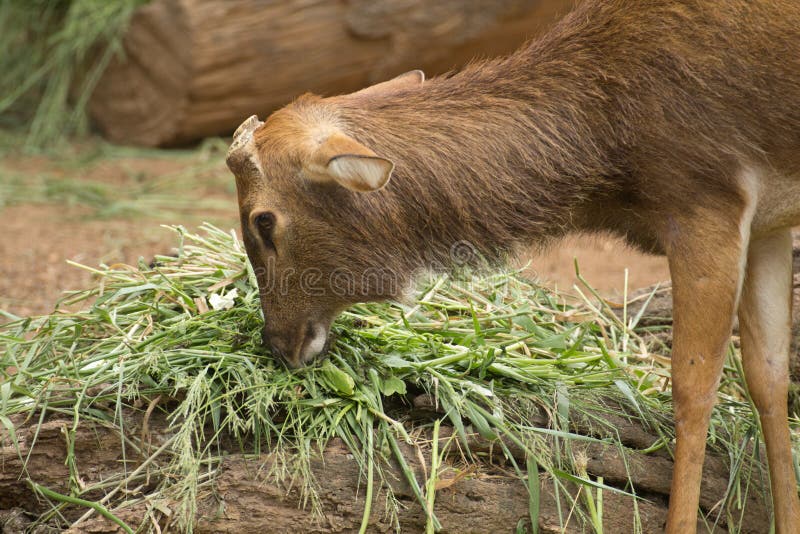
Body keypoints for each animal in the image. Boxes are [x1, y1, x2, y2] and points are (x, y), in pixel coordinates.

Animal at [225, 0, 800, 531]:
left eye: (263, 221)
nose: (279, 343)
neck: (611, 146)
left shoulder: (704, 203)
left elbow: (692, 387)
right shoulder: (768, 225)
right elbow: (767, 378)